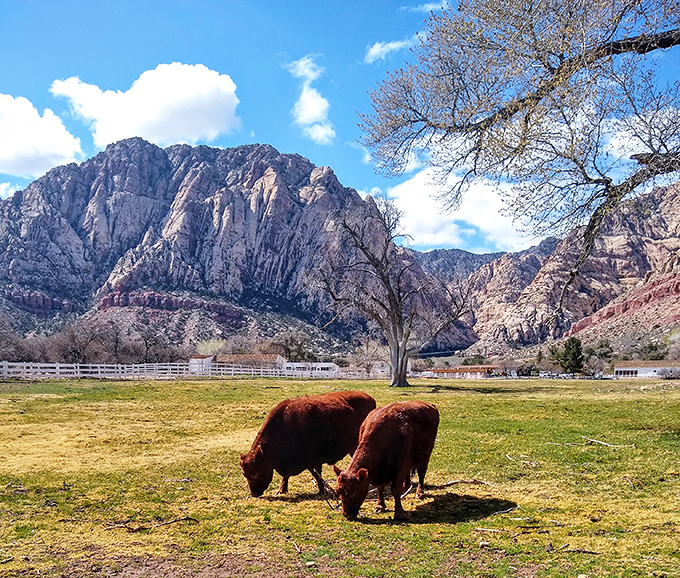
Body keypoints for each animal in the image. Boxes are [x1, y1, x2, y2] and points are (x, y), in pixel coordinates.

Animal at [240, 390, 376, 497]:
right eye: (243, 473)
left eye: (253, 472)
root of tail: (370, 398)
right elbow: (286, 476)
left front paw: (322, 492)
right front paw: (281, 490)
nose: (254, 493)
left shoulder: (313, 461)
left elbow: (318, 476)